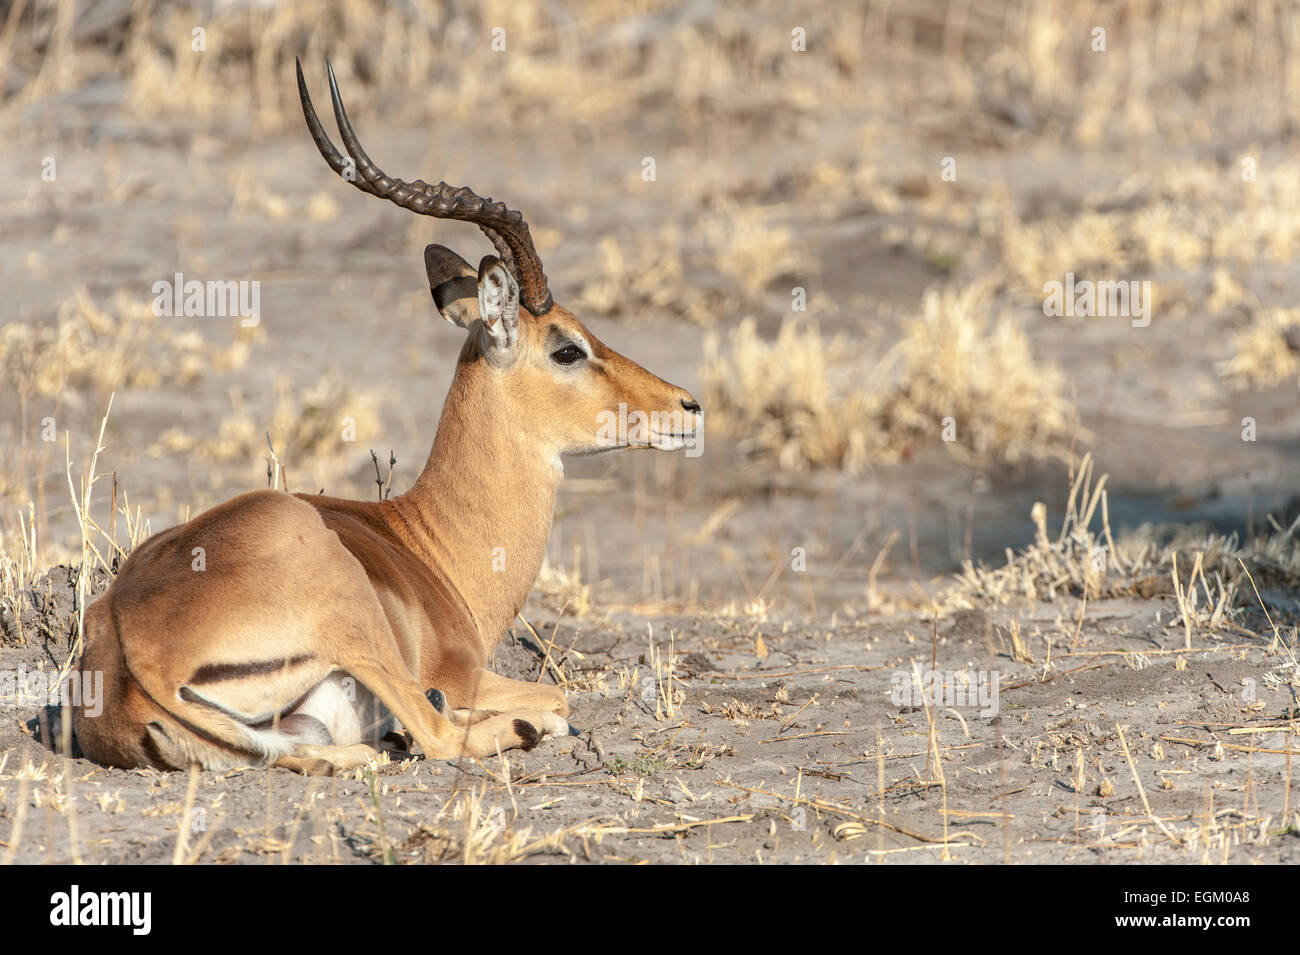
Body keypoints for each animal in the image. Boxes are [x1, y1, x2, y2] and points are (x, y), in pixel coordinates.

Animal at [68, 61, 702, 775]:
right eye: (567, 348)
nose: (686, 406)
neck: (430, 548)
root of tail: (131, 654)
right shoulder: (461, 671)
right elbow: (551, 697)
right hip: (354, 621)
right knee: (440, 731)